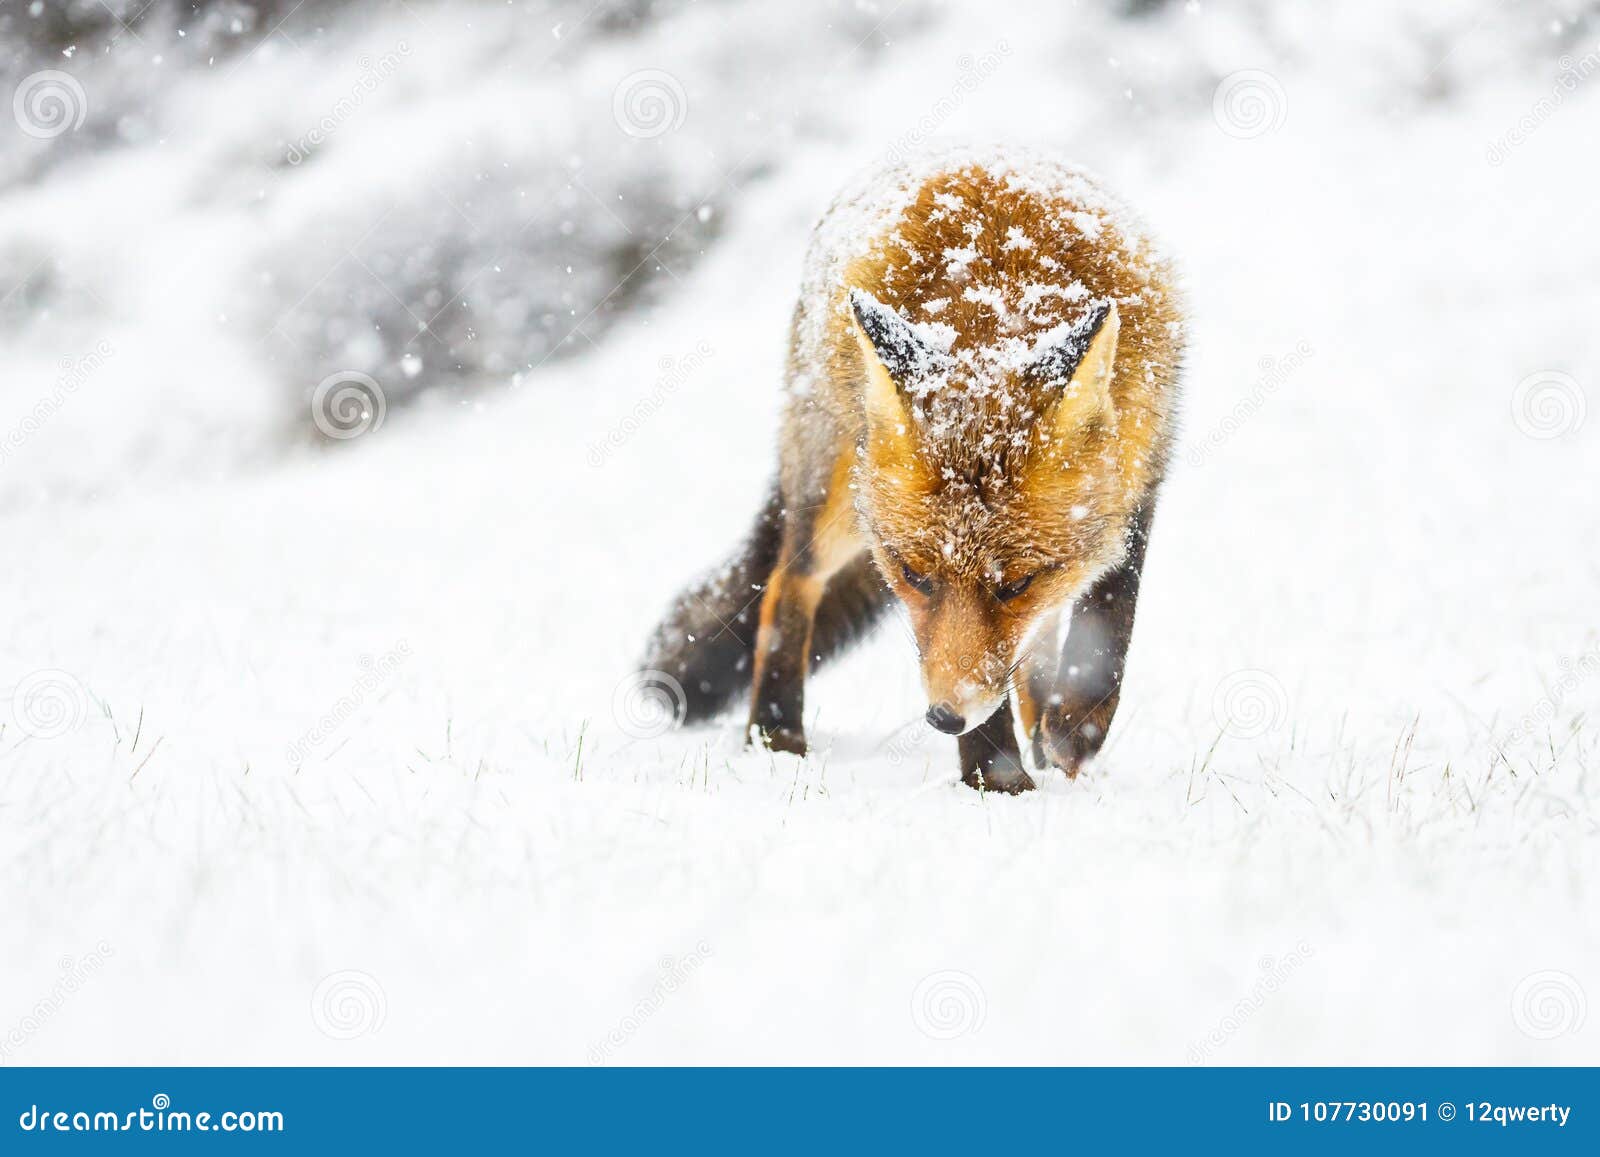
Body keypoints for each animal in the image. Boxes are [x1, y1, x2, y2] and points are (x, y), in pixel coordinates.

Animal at [642, 146, 1184, 792]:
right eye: (913, 576)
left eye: (1017, 584)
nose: (944, 718)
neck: (999, 293)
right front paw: (997, 779)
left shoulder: (1142, 471)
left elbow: (1111, 610)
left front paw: (1074, 725)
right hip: (836, 502)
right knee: (784, 586)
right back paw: (775, 733)